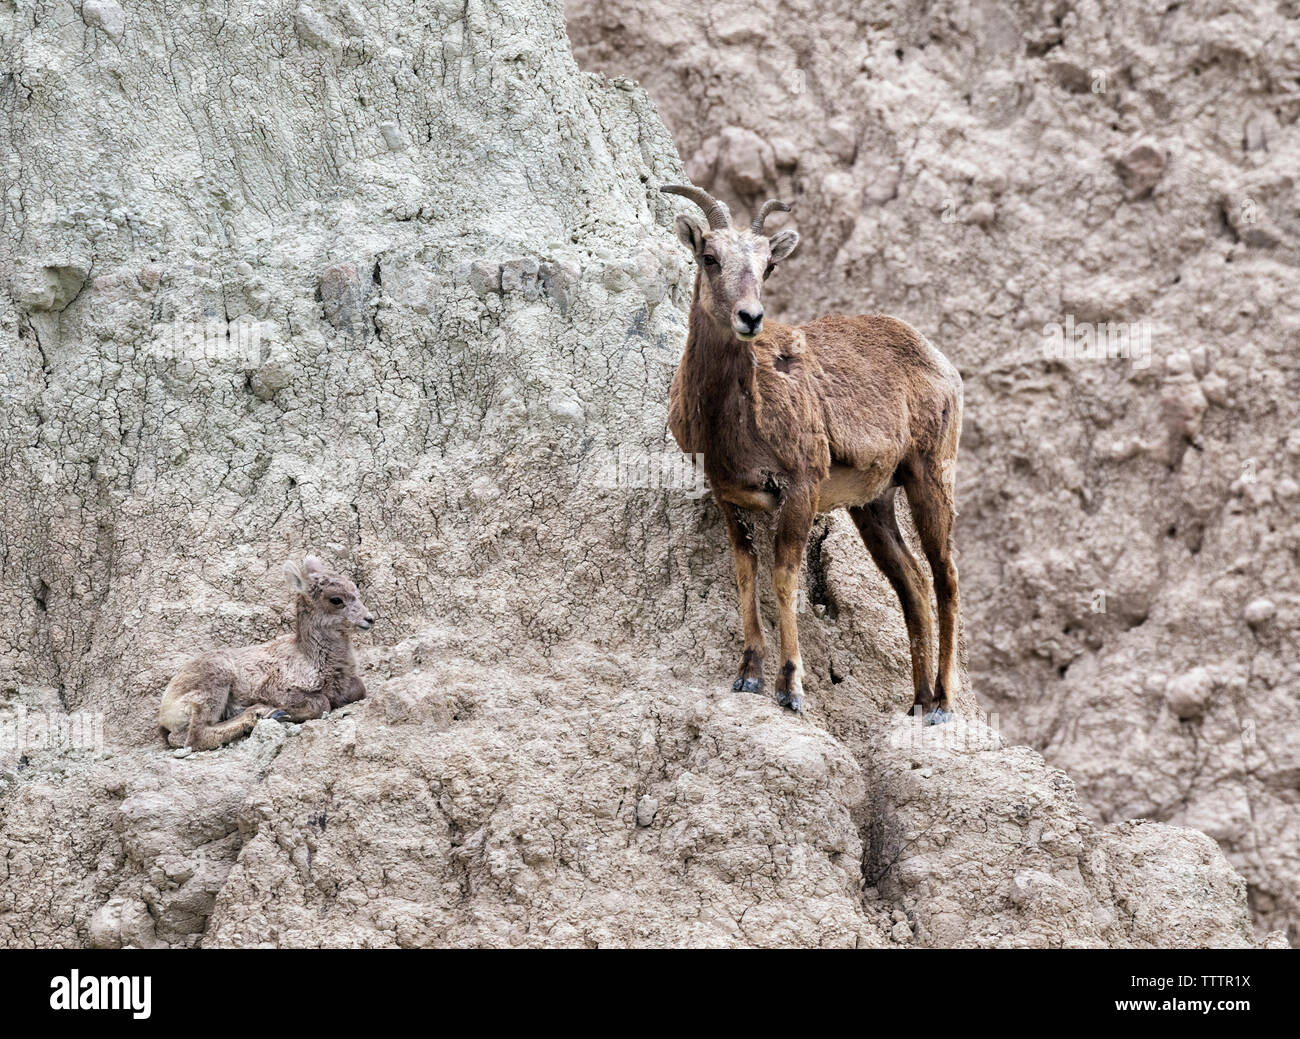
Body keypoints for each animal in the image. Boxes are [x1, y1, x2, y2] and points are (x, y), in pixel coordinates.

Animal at [158, 555, 375, 750]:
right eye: (336, 599)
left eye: (355, 590)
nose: (369, 619)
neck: (312, 661)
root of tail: (166, 708)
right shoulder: (278, 691)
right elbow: (322, 703)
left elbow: (359, 689)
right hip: (215, 682)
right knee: (194, 737)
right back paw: (264, 714)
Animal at [661, 184, 963, 722]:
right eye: (710, 257)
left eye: (767, 267)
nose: (750, 318)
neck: (731, 418)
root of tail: (941, 363)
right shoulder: (728, 495)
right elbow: (746, 572)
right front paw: (749, 676)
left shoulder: (800, 489)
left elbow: (785, 579)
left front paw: (791, 688)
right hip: (874, 504)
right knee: (912, 583)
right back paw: (918, 701)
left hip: (931, 478)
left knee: (944, 577)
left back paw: (944, 704)